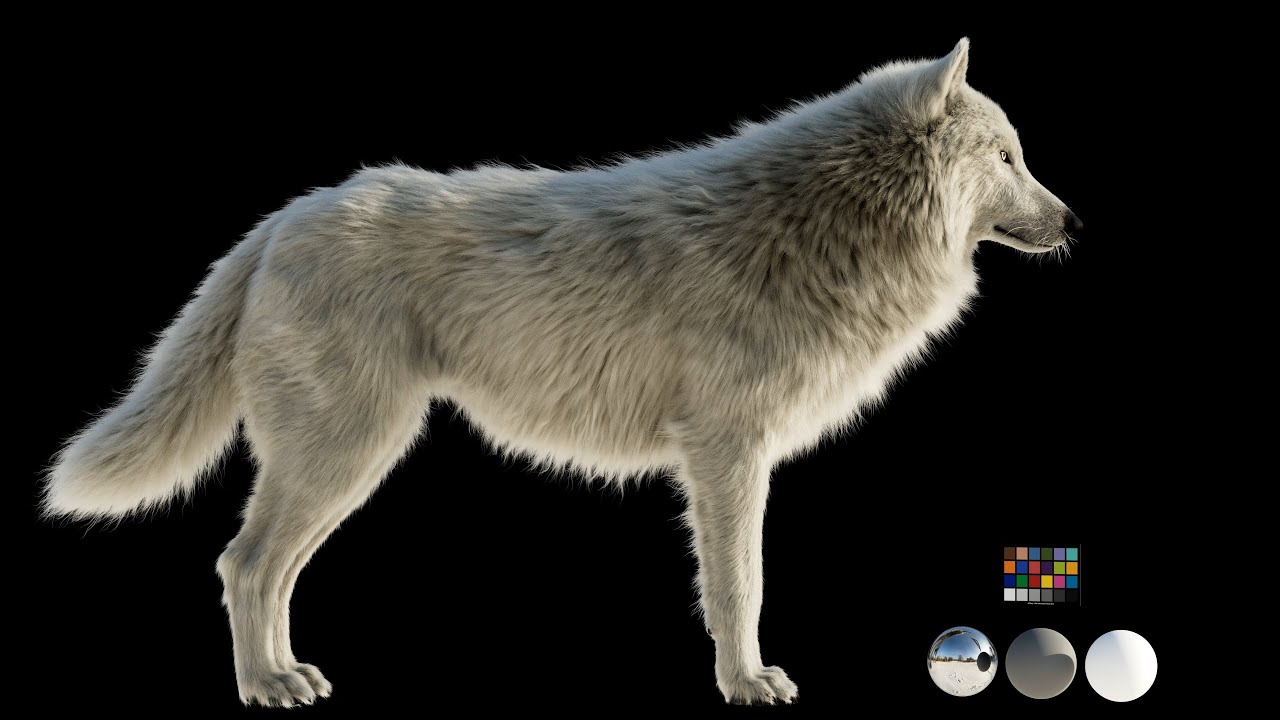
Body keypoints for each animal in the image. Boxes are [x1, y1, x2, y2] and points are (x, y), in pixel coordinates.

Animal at [44, 39, 1080, 706]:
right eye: (1007, 156)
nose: (1075, 222)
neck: (822, 231)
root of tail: (277, 222)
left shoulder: (730, 458)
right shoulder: (727, 455)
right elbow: (739, 587)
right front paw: (747, 684)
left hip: (347, 466)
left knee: (264, 568)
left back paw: (285, 674)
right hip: (346, 457)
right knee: (245, 563)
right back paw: (266, 686)